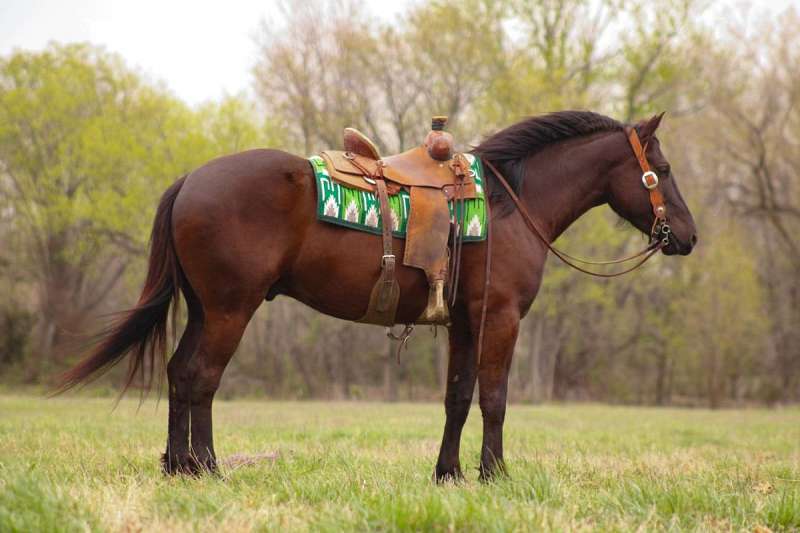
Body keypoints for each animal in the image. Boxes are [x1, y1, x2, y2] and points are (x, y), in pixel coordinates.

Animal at [59, 110, 697, 481]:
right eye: (662, 169)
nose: (688, 236)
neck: (511, 203)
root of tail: (191, 179)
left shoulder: (464, 322)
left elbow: (457, 398)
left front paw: (448, 474)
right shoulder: (501, 318)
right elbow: (494, 398)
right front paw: (495, 474)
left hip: (204, 309)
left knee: (178, 372)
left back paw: (177, 466)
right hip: (229, 310)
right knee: (200, 377)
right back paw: (206, 468)